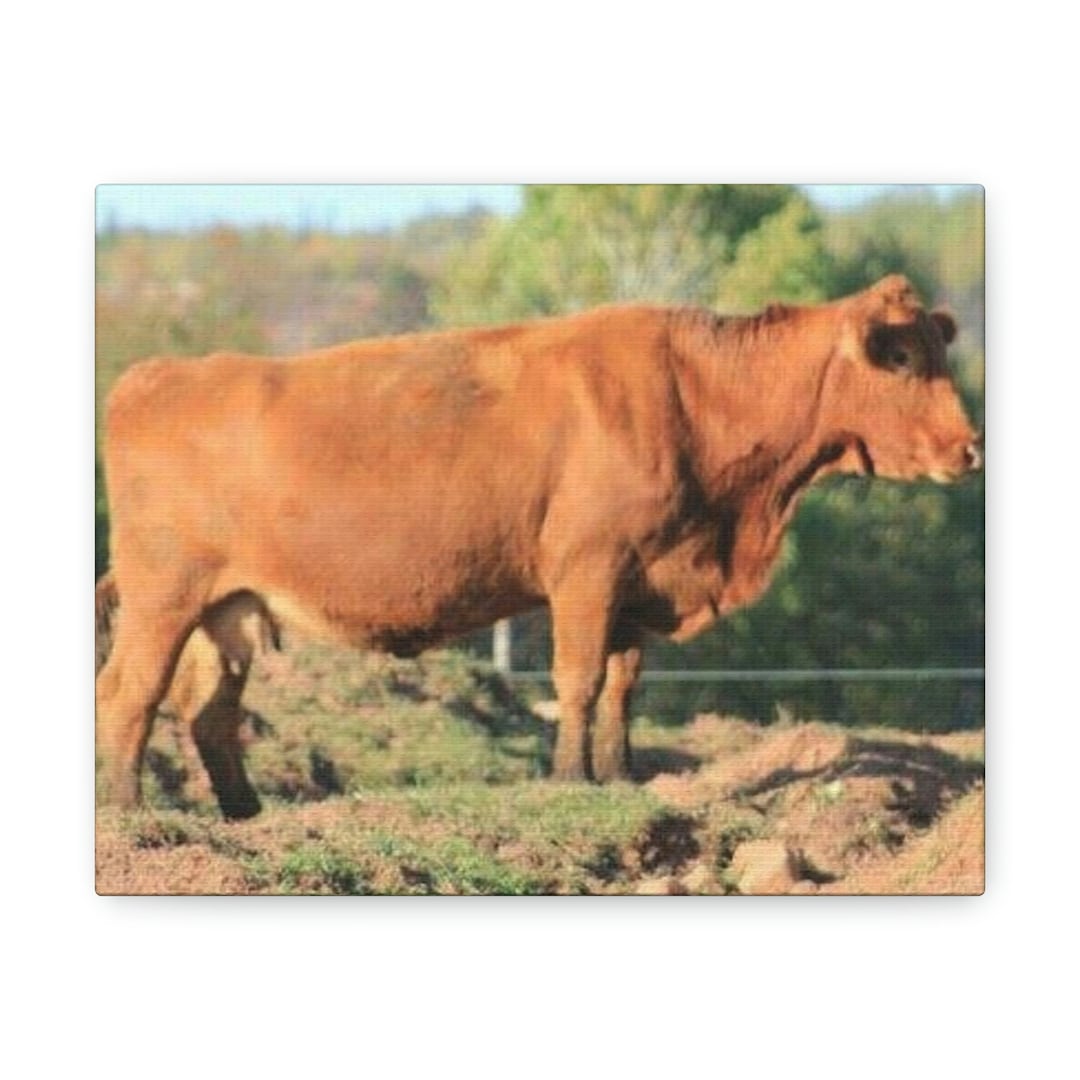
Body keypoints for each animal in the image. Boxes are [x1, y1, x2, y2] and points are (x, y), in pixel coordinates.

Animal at [95, 274, 981, 818]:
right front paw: (570, 778)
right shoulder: (587, 571)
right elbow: (579, 682)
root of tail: (158, 374)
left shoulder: (638, 582)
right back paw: (130, 811)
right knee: (128, 693)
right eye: (902, 357)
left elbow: (624, 686)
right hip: (162, 598)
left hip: (226, 610)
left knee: (208, 713)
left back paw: (247, 816)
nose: (969, 448)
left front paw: (621, 776)